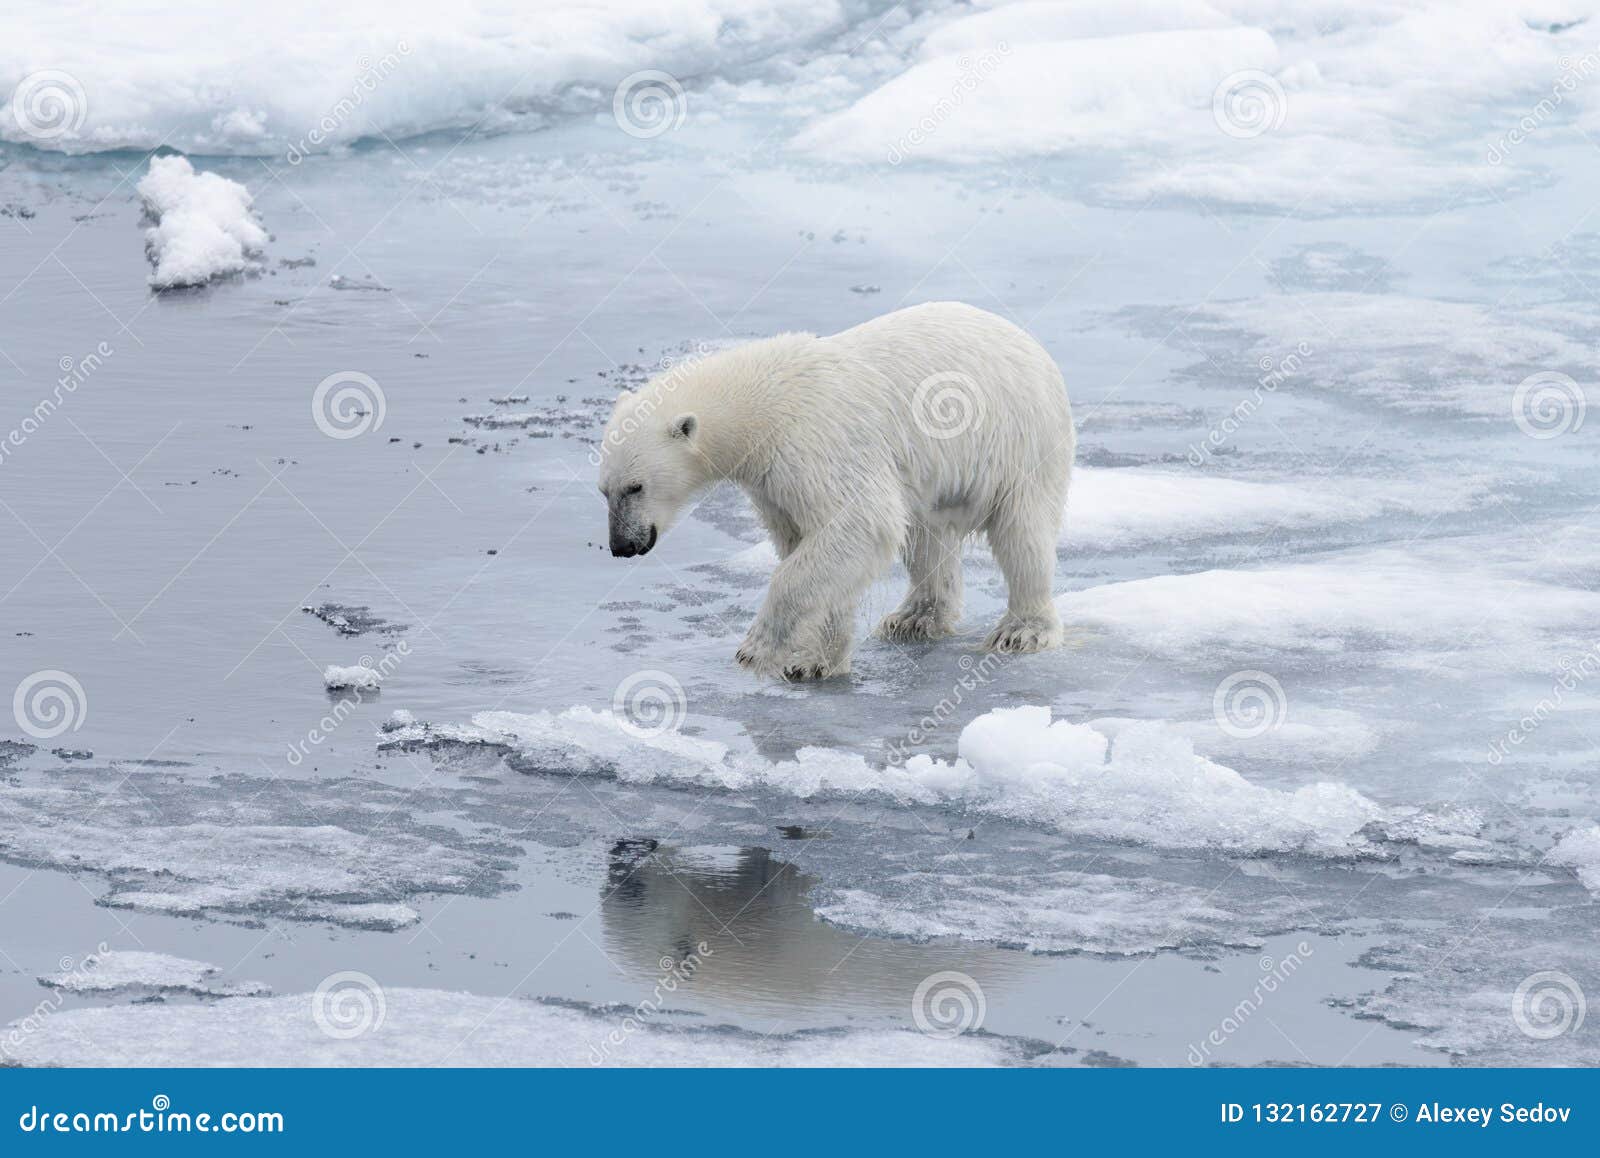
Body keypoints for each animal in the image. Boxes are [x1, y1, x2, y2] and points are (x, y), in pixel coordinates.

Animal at [596, 301, 1074, 680]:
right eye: (604, 490)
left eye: (635, 487)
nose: (622, 546)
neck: (765, 405)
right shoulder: (774, 482)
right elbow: (819, 551)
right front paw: (815, 661)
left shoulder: (818, 444)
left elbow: (858, 526)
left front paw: (757, 649)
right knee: (926, 537)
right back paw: (914, 618)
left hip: (1019, 441)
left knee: (1022, 534)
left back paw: (1021, 630)